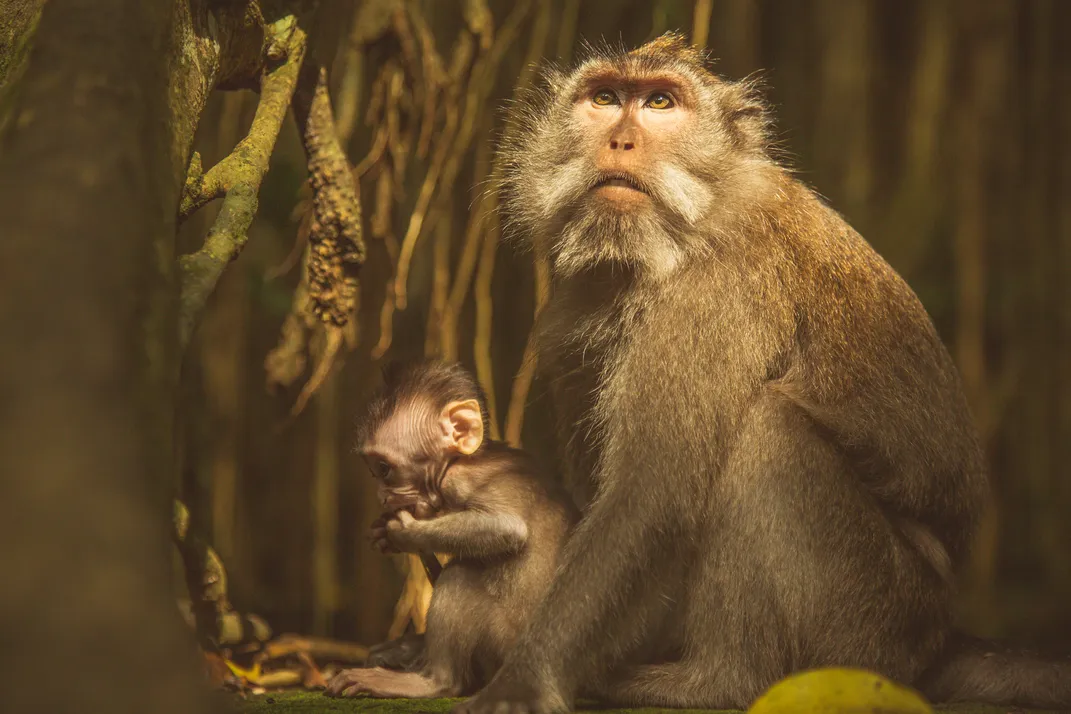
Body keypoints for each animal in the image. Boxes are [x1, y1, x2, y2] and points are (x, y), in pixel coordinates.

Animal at [325, 359, 579, 700]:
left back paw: (430, 680)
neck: (462, 460)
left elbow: (506, 528)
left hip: (503, 647)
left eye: (384, 469)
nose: (381, 497)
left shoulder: (456, 480)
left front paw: (401, 534)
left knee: (460, 574)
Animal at [452, 33, 1071, 714]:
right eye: (606, 98)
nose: (620, 141)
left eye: (661, 103)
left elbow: (648, 500)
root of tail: (940, 643)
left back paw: (718, 680)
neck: (682, 233)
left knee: (768, 432)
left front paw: (522, 679)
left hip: (872, 618)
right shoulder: (574, 302)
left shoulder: (717, 295)